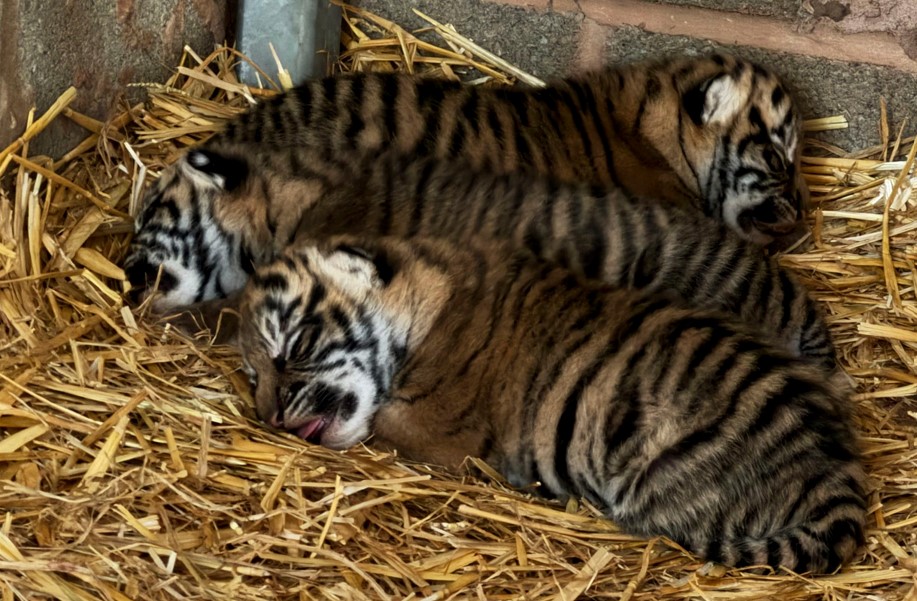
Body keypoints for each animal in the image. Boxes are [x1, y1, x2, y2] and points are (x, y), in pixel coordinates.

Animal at [237, 235, 865, 573]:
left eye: (294, 348)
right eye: (252, 375)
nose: (273, 417)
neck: (428, 293)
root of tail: (837, 481)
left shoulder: (433, 429)